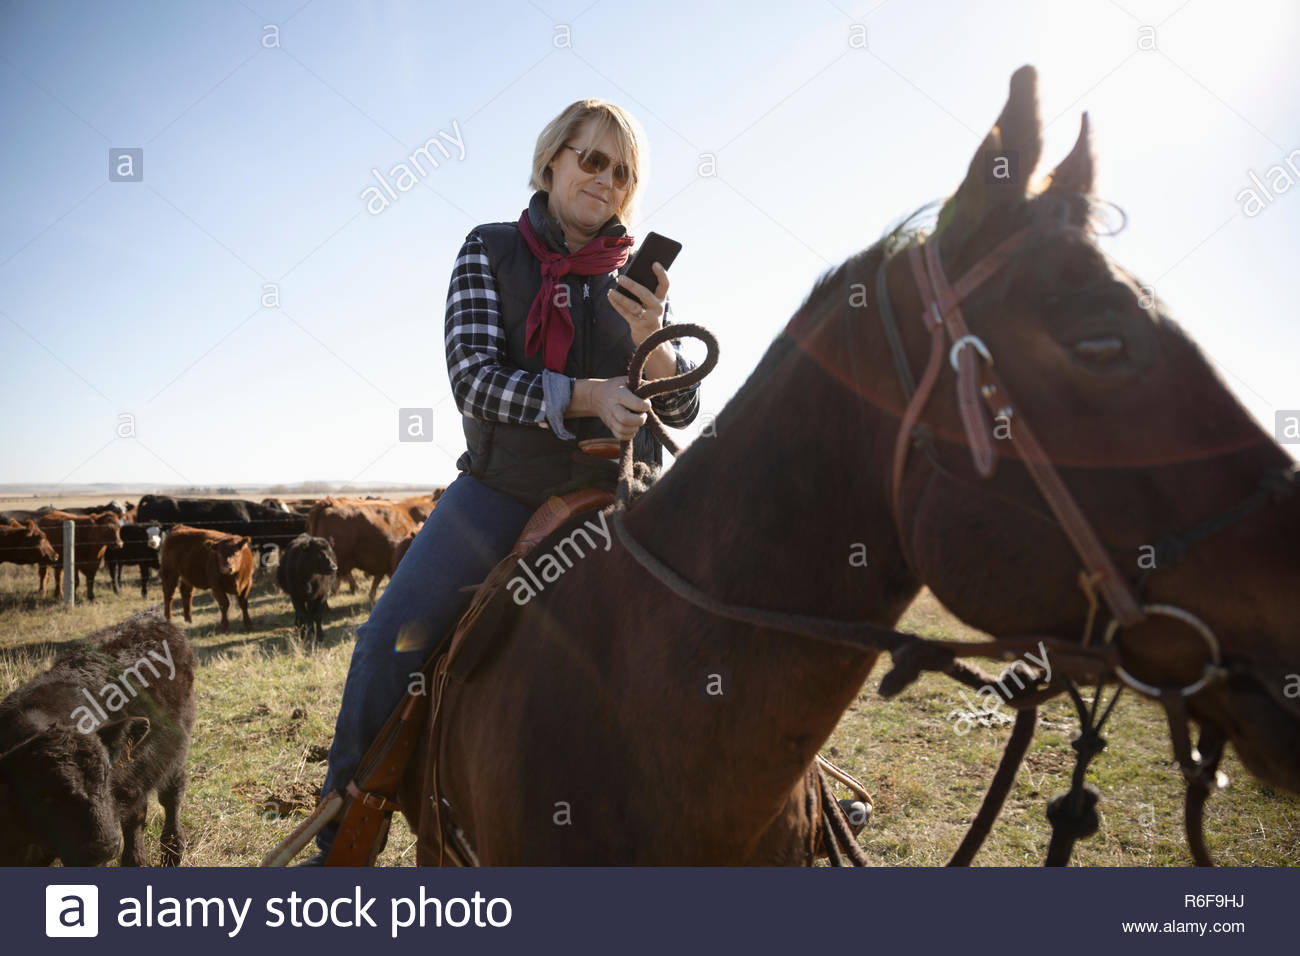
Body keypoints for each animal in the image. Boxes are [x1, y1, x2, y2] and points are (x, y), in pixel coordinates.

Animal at [0, 607, 195, 866]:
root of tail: (152, 616)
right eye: (45, 795)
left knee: (171, 797)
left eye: (105, 778)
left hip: (175, 753)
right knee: (136, 814)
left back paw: (171, 852)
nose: (105, 846)